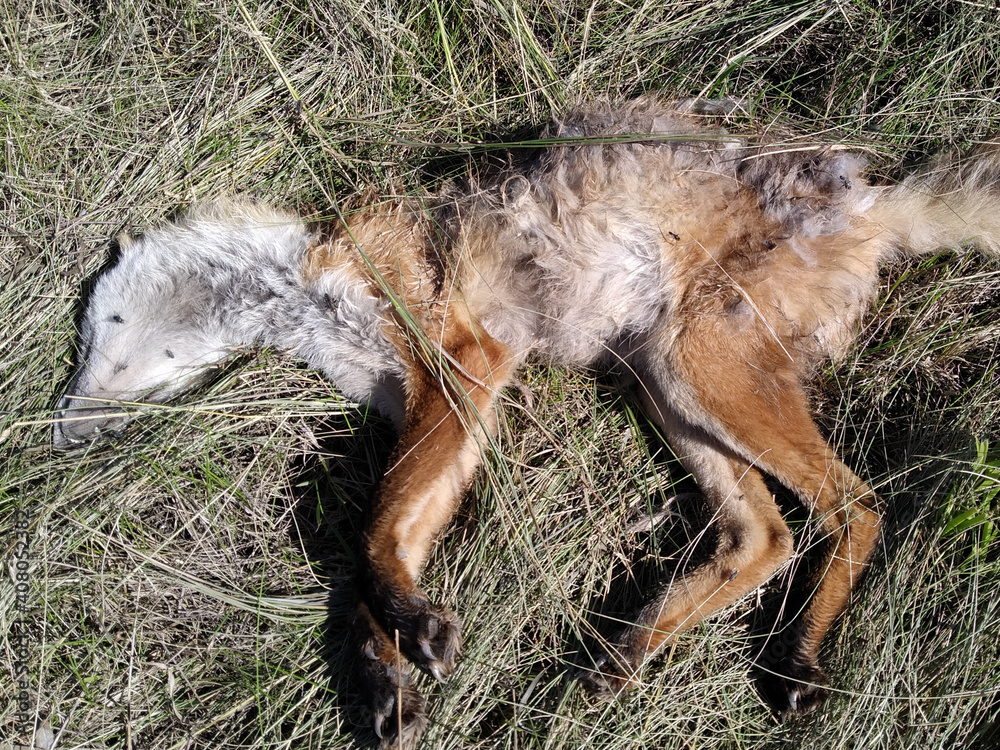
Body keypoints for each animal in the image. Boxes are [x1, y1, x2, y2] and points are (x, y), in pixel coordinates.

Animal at [54, 98, 1000, 749]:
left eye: (95, 334)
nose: (59, 428)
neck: (317, 286)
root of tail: (871, 197)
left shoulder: (463, 364)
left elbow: (369, 535)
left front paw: (408, 636)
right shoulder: (440, 406)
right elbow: (371, 561)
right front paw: (389, 675)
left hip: (702, 371)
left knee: (857, 505)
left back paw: (796, 660)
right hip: (667, 387)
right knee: (765, 535)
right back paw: (627, 656)